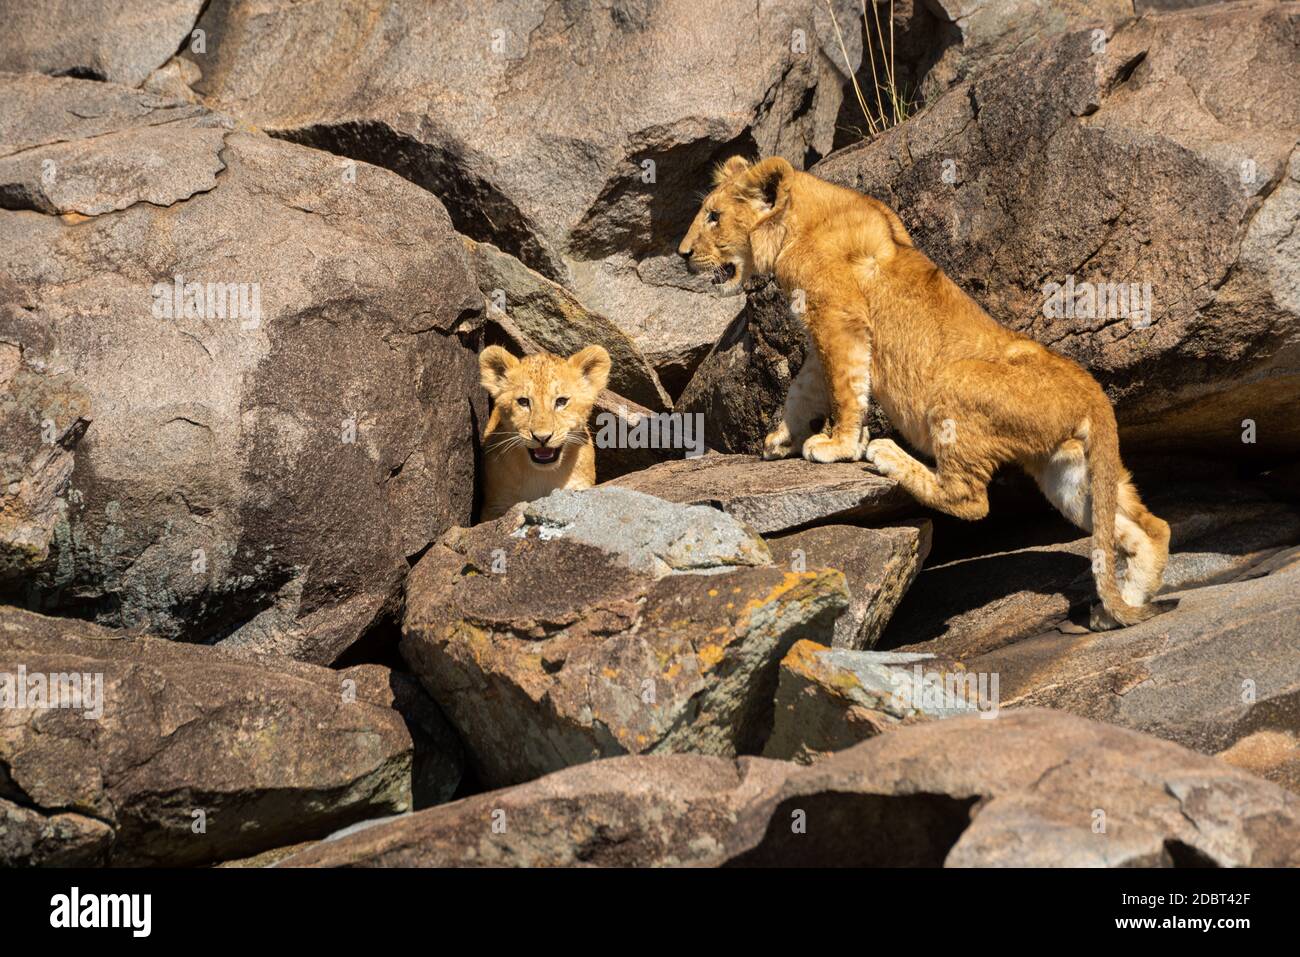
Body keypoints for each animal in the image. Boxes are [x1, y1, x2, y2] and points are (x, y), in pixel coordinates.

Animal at [678, 155, 1170, 629]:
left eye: (714, 216)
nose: (682, 255)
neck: (797, 223)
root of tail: (1092, 393)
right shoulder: (824, 339)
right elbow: (806, 389)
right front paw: (782, 439)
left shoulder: (839, 319)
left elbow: (844, 389)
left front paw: (838, 445)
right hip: (1064, 470)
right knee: (1148, 528)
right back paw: (1121, 607)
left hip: (956, 385)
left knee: (969, 499)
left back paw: (887, 454)